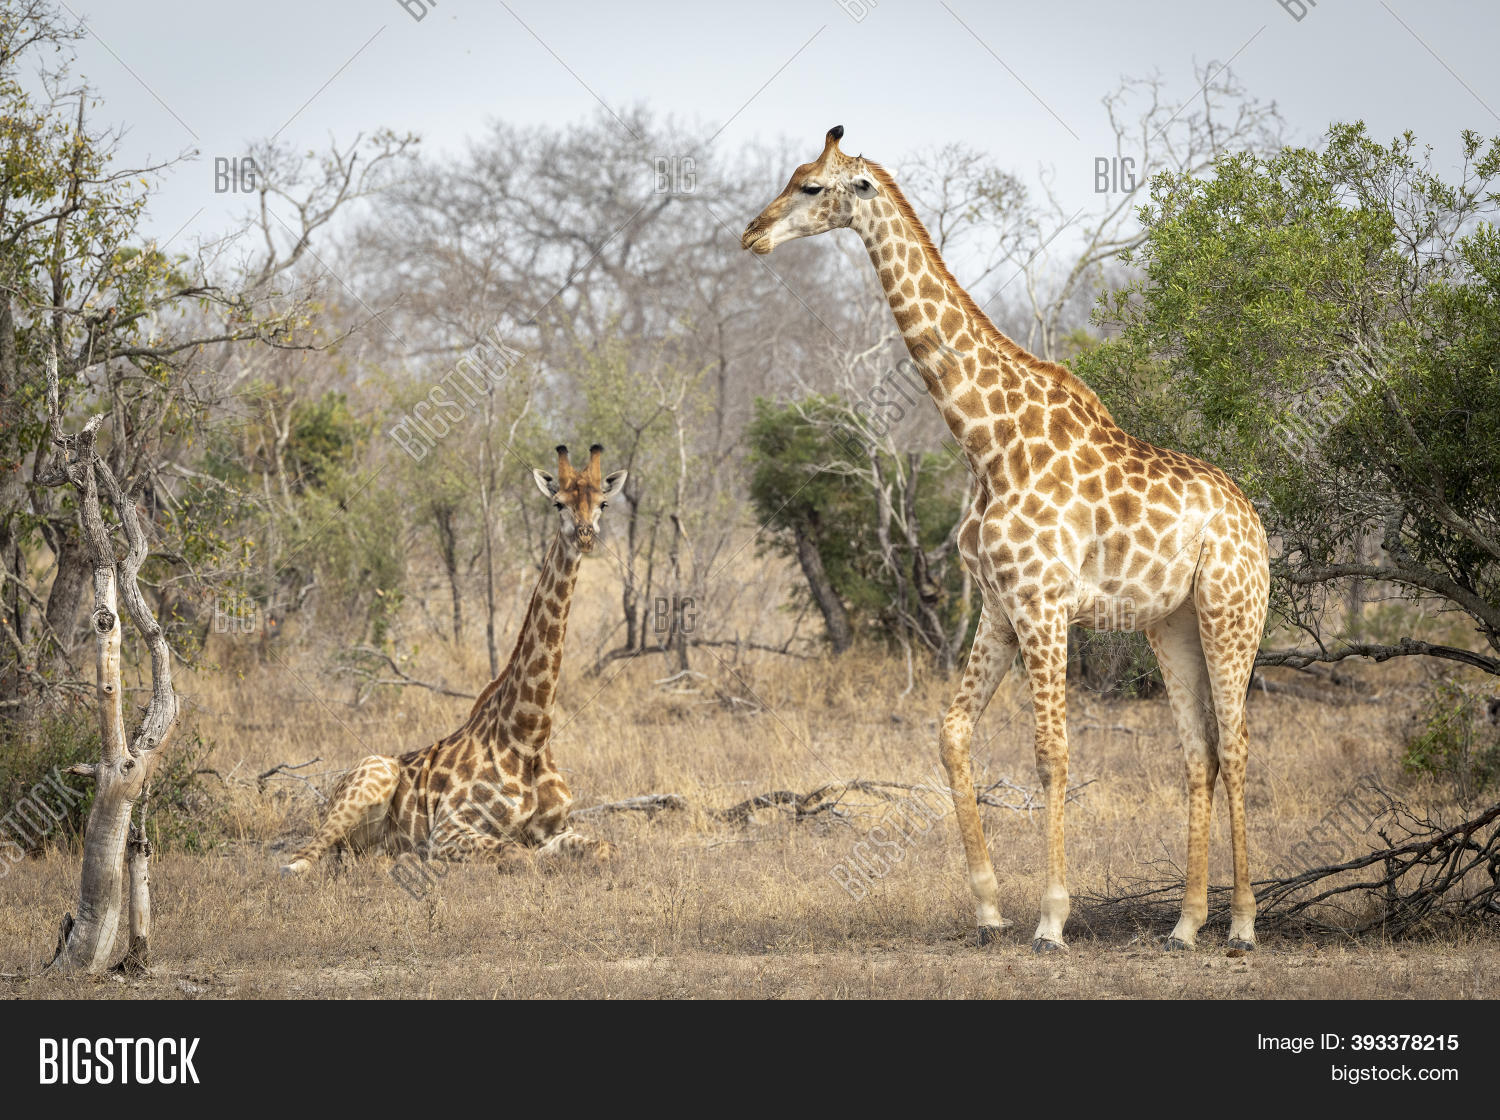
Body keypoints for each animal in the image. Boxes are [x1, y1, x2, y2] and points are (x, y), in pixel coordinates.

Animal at [279, 444, 627, 876]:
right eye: (557, 503)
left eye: (603, 503)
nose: (585, 537)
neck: (528, 736)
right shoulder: (448, 830)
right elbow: (519, 855)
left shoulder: (558, 829)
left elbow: (607, 848)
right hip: (373, 776)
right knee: (301, 859)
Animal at [742, 127, 1269, 952]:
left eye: (810, 187)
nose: (752, 235)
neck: (986, 441)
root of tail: (1255, 520)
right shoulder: (997, 605)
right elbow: (952, 734)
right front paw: (989, 909)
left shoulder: (1044, 603)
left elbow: (1051, 755)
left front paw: (1051, 918)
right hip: (1170, 624)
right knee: (1199, 753)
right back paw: (1185, 924)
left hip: (1230, 613)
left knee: (1239, 747)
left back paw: (1243, 924)